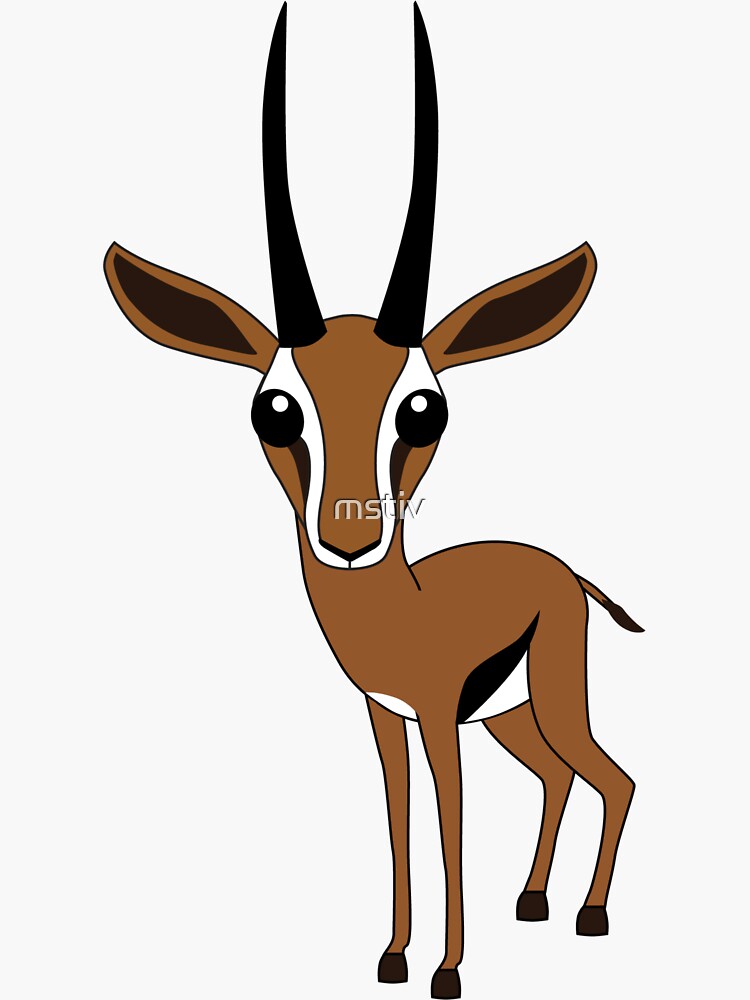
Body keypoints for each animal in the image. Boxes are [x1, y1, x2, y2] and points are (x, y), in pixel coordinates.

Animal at [103, 5, 642, 998]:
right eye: (274, 407)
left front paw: (447, 972)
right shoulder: (385, 717)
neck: (405, 612)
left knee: (612, 777)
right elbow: (398, 820)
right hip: (513, 718)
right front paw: (392, 958)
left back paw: (590, 917)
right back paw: (535, 902)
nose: (347, 534)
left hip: (550, 699)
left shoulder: (434, 719)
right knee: (559, 779)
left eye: (423, 408)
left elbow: (448, 822)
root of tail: (564, 569)